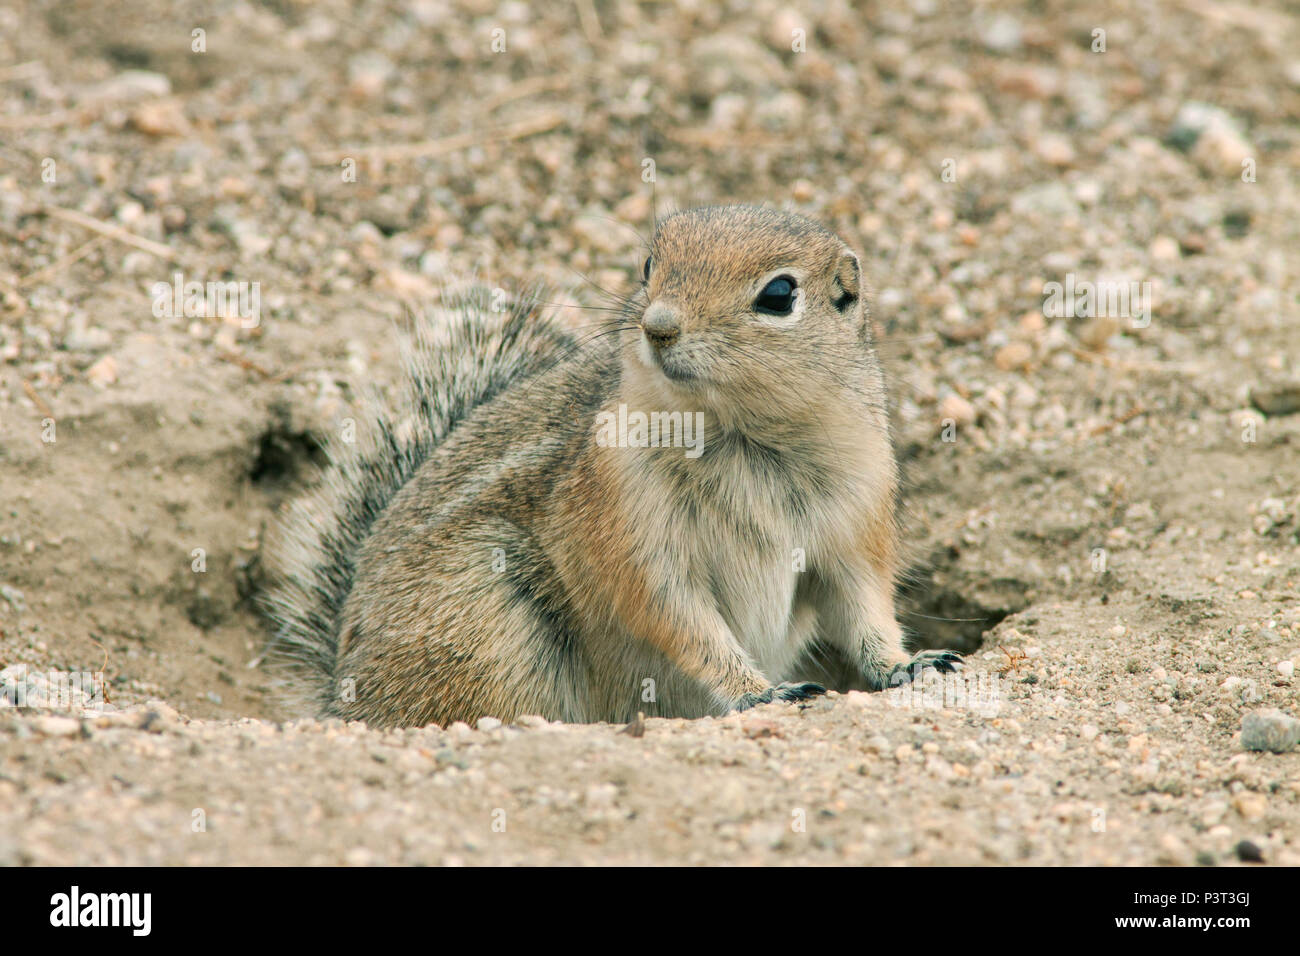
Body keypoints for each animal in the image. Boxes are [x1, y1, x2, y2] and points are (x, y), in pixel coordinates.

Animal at [261, 204, 960, 728]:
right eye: (649, 265)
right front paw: (760, 691)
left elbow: (863, 612)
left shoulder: (852, 531)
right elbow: (682, 622)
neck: (740, 434)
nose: (658, 326)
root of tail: (344, 690)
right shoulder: (633, 534)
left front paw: (908, 664)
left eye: (780, 294)